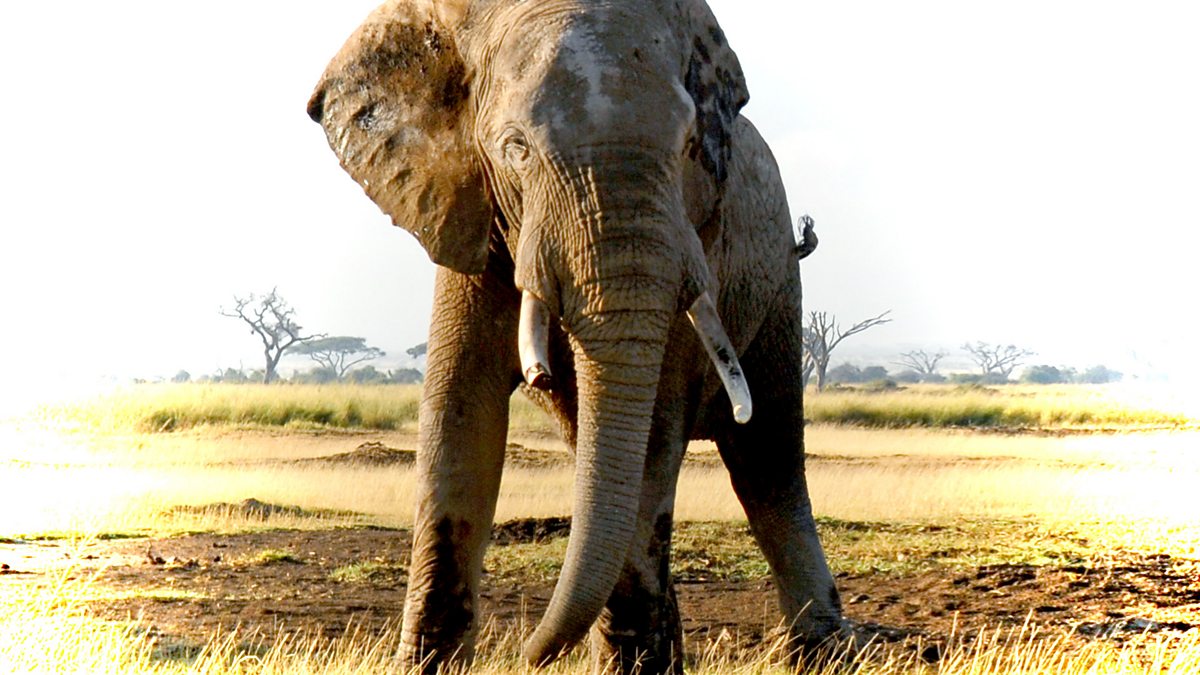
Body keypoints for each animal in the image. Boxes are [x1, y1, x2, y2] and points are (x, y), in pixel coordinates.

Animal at [307, 0, 845, 672]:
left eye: (689, 147)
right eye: (515, 149)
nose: (527, 652)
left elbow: (654, 428)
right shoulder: (467, 210)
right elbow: (461, 413)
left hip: (777, 281)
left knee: (767, 456)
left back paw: (822, 650)